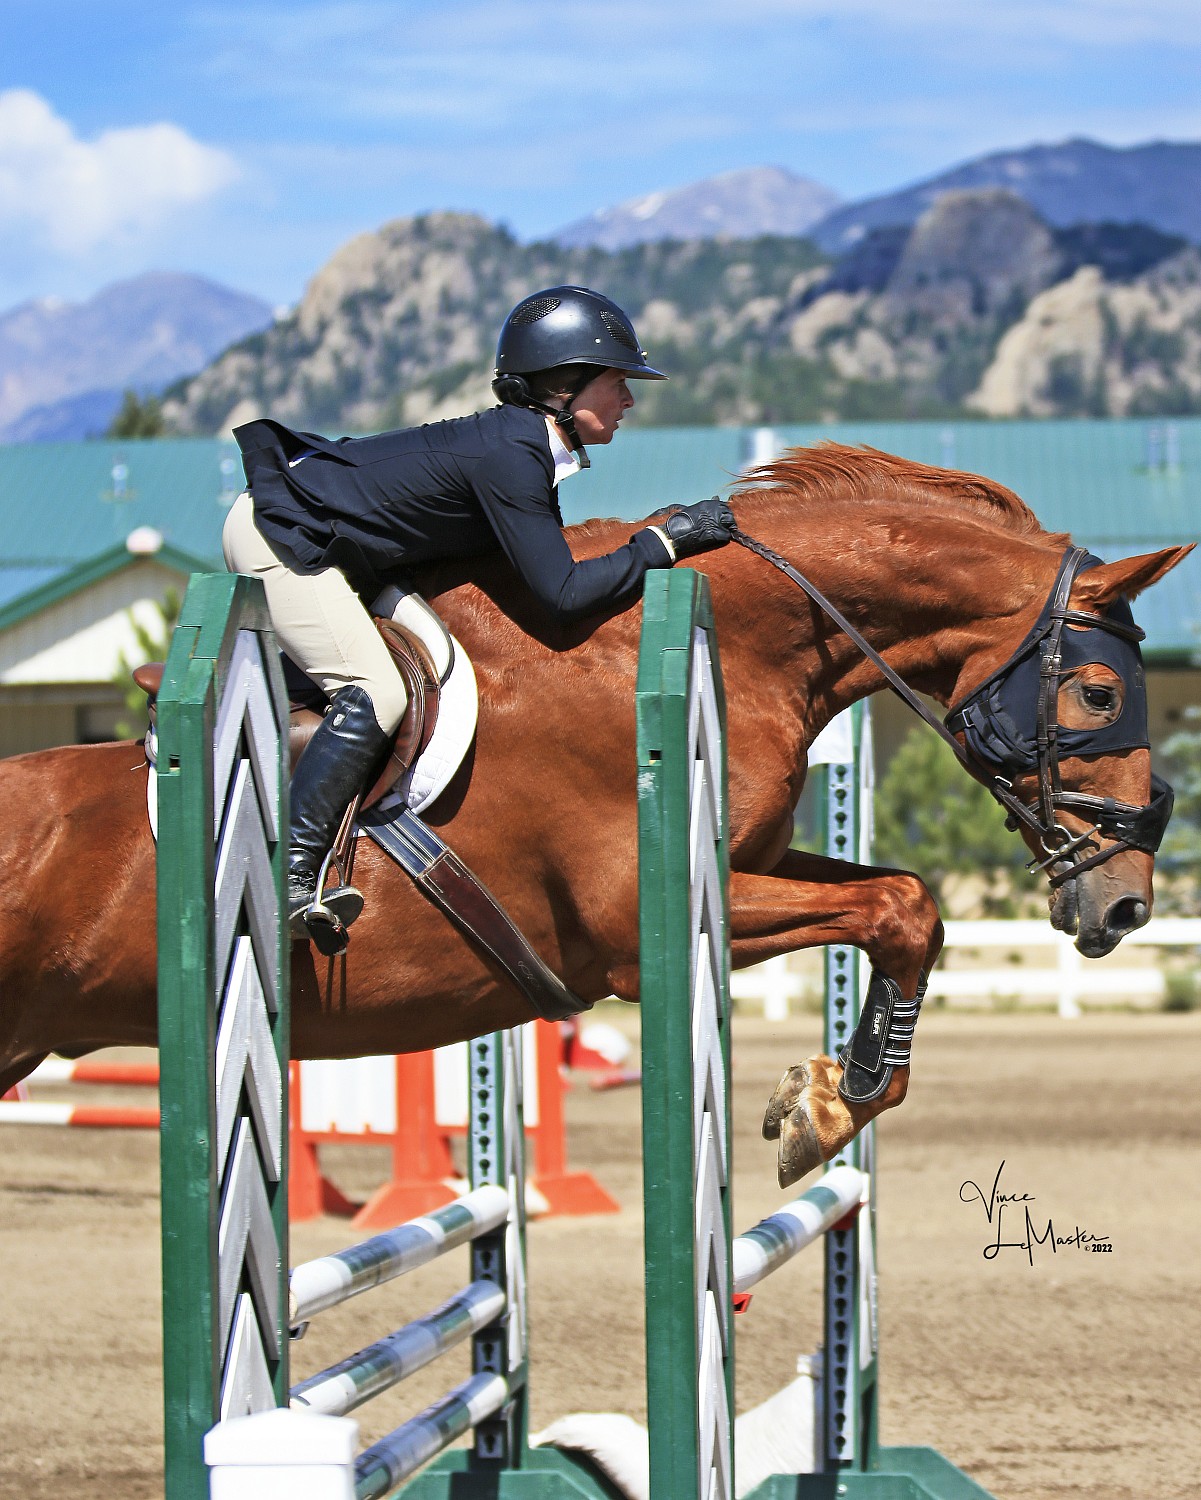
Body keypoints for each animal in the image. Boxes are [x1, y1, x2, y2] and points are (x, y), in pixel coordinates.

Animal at [0, 446, 1188, 1185]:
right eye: (1096, 694)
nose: (1126, 907)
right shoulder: (629, 923)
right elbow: (896, 909)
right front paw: (828, 1106)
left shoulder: (749, 861)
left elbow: (905, 899)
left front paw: (827, 1099)